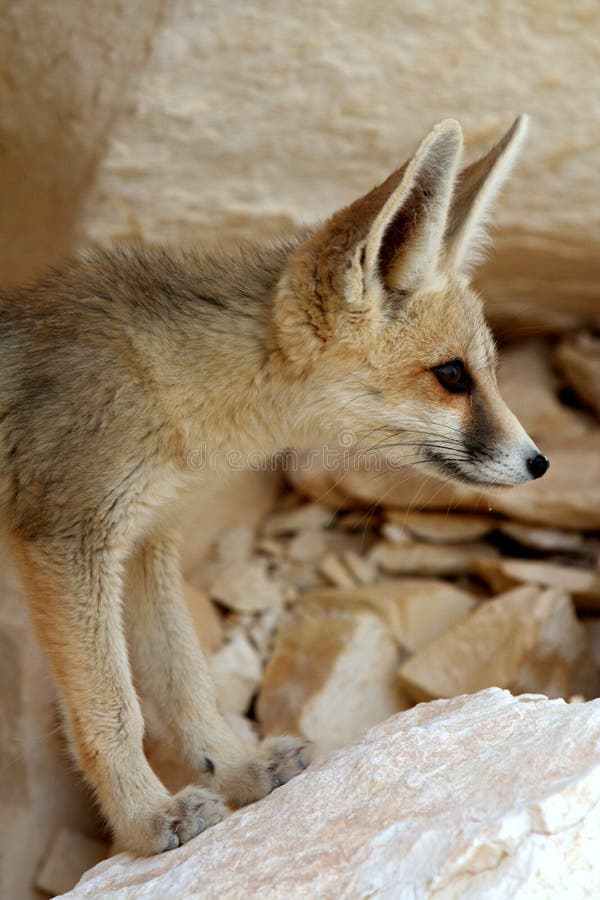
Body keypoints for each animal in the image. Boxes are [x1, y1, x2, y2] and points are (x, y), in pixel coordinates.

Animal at [0, 115, 548, 856]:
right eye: (452, 376)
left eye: (485, 372)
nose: (538, 462)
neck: (171, 388)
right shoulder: (69, 541)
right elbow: (114, 708)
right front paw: (146, 818)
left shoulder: (147, 543)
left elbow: (184, 683)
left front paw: (235, 768)